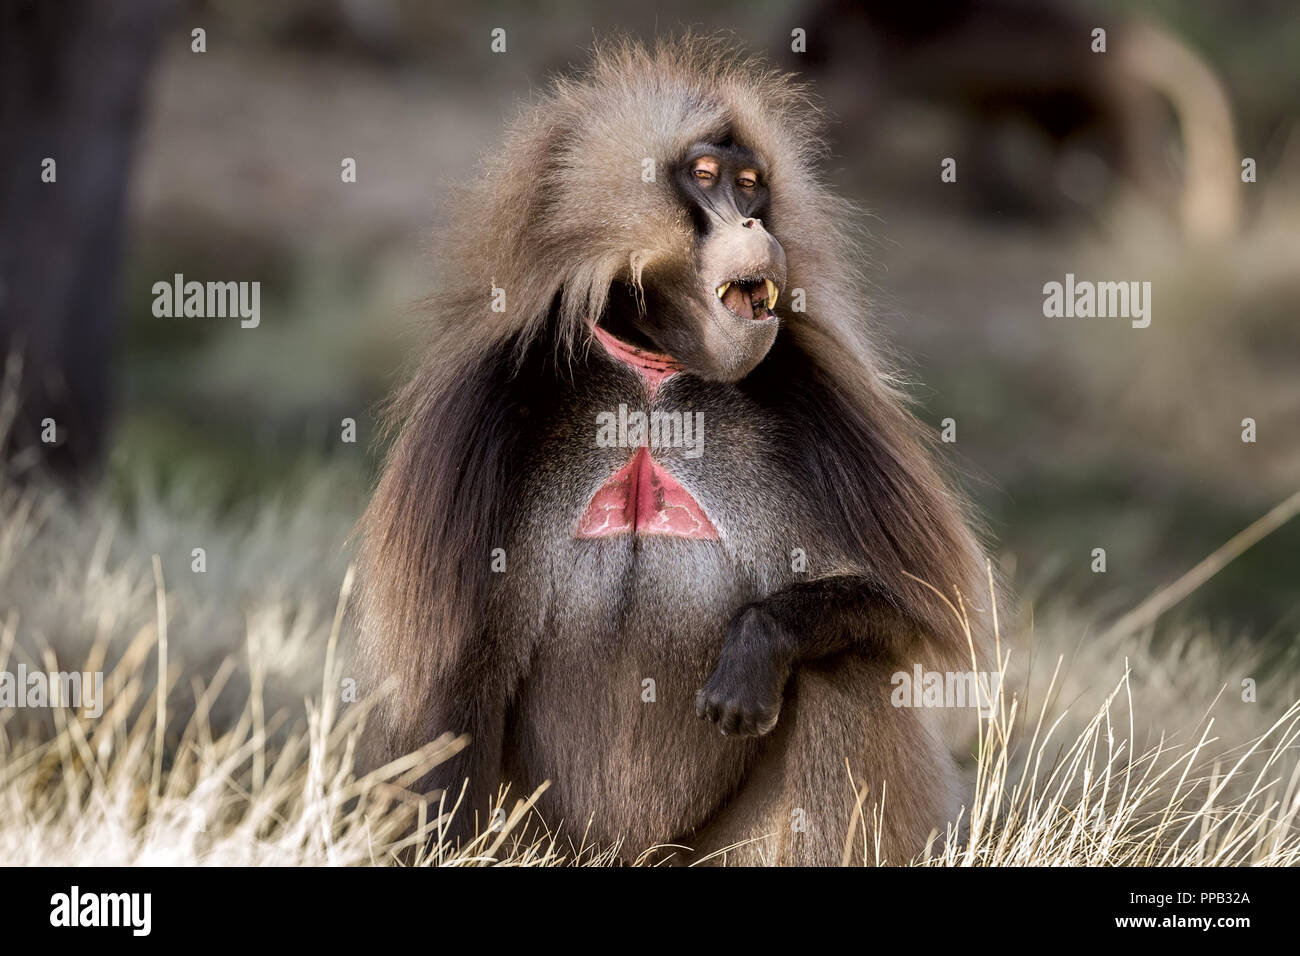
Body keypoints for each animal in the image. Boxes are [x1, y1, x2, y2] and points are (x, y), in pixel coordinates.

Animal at [356, 36, 993, 866]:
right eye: (705, 177)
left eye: (752, 184)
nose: (754, 225)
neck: (655, 372)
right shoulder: (485, 410)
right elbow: (451, 682)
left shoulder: (814, 396)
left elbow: (914, 606)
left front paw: (757, 645)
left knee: (842, 670)